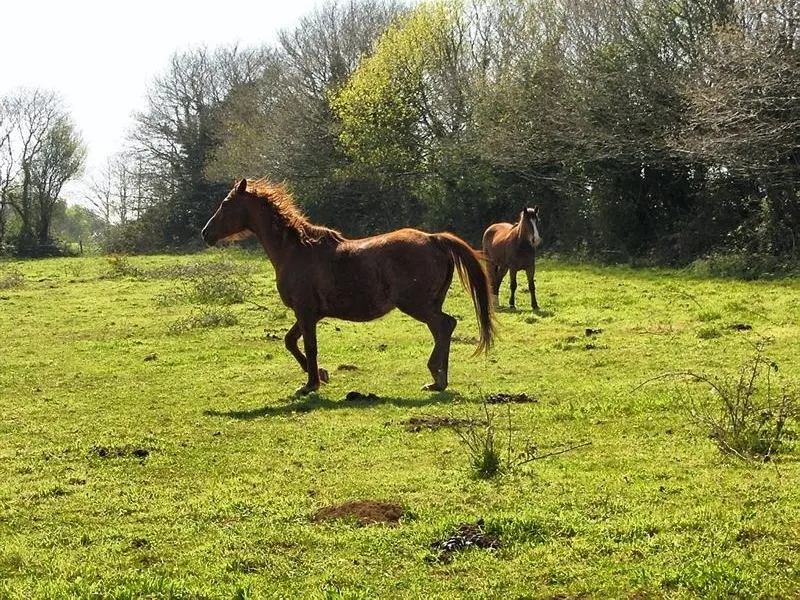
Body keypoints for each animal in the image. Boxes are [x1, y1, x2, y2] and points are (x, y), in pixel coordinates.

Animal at [202, 178, 495, 395]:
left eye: (226, 204)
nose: (205, 233)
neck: (295, 250)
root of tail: (435, 239)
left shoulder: (305, 311)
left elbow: (309, 346)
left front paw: (310, 384)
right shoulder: (309, 313)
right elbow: (290, 341)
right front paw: (320, 374)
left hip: (417, 304)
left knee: (445, 326)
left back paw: (437, 377)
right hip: (429, 304)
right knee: (442, 330)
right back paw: (438, 379)